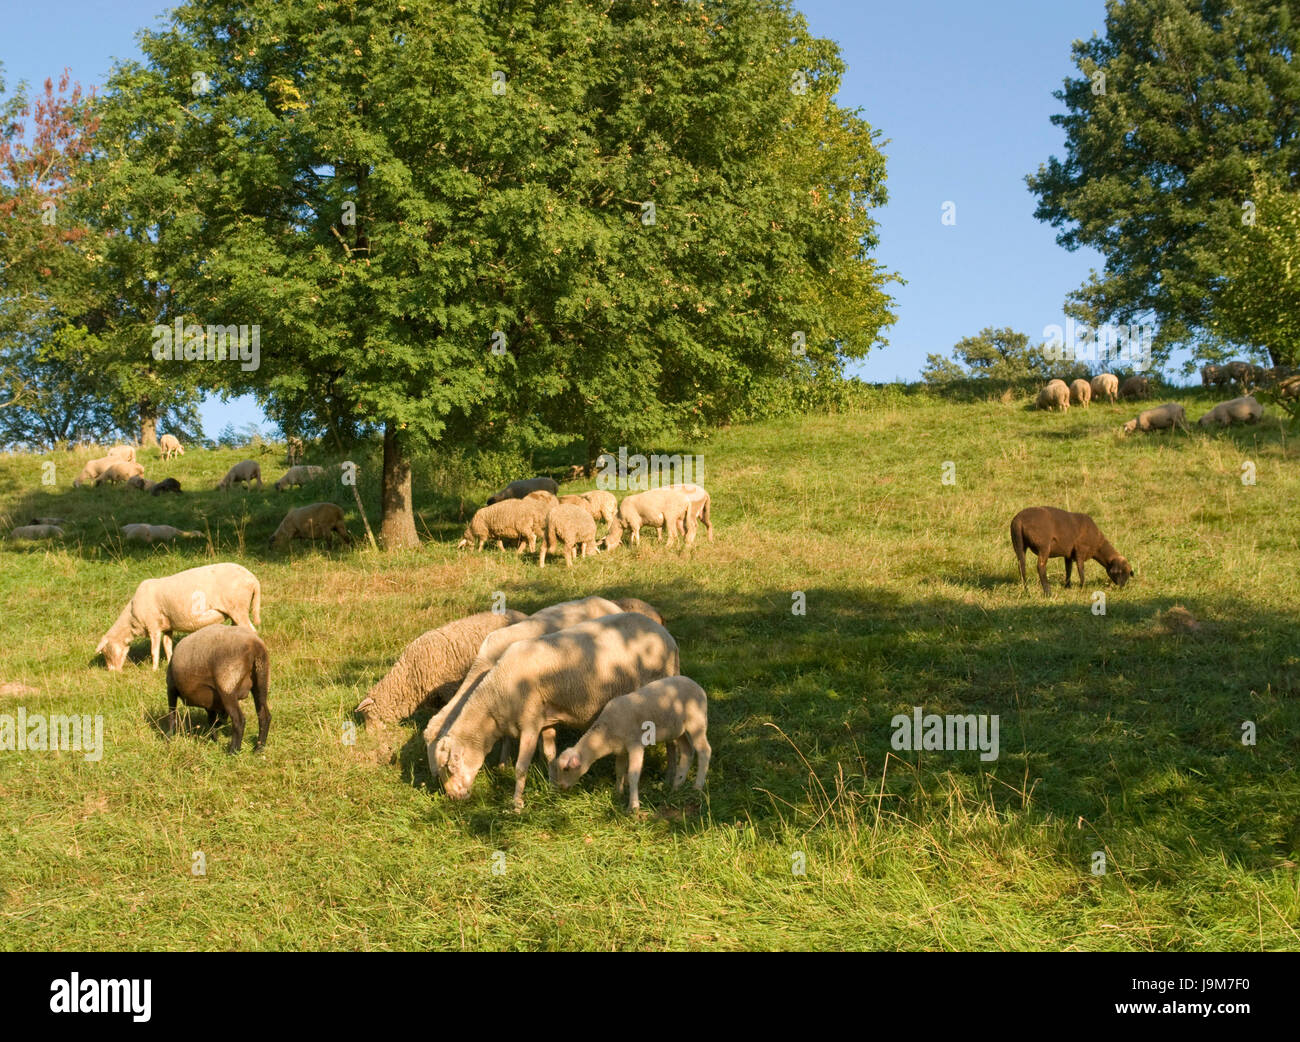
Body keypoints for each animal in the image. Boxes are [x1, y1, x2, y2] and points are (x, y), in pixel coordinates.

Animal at [96, 562, 261, 671]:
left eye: (105, 651)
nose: (112, 672)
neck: (131, 621)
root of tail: (253, 579)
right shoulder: (167, 626)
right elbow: (168, 646)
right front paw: (169, 664)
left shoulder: (153, 626)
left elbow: (154, 650)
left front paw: (154, 669)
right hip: (235, 611)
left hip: (238, 608)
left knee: (252, 631)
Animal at [165, 625, 270, 754]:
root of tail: (256, 645)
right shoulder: (211, 702)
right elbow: (212, 721)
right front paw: (214, 740)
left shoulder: (171, 688)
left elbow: (172, 714)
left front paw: (168, 737)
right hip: (261, 682)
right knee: (264, 715)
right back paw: (258, 748)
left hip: (227, 685)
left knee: (239, 720)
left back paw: (233, 751)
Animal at [433, 612, 681, 810]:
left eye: (449, 767)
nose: (453, 798)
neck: (497, 695)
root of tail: (666, 635)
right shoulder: (546, 721)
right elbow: (550, 754)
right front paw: (552, 786)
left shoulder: (530, 724)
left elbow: (521, 768)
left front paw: (517, 804)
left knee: (672, 742)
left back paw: (670, 777)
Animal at [553, 676, 710, 811]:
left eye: (566, 769)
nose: (561, 787)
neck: (605, 734)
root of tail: (697, 685)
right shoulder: (621, 749)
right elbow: (619, 770)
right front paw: (618, 793)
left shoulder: (635, 745)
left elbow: (633, 775)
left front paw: (633, 806)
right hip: (678, 730)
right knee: (687, 751)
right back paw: (677, 785)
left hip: (696, 722)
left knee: (704, 751)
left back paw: (697, 786)